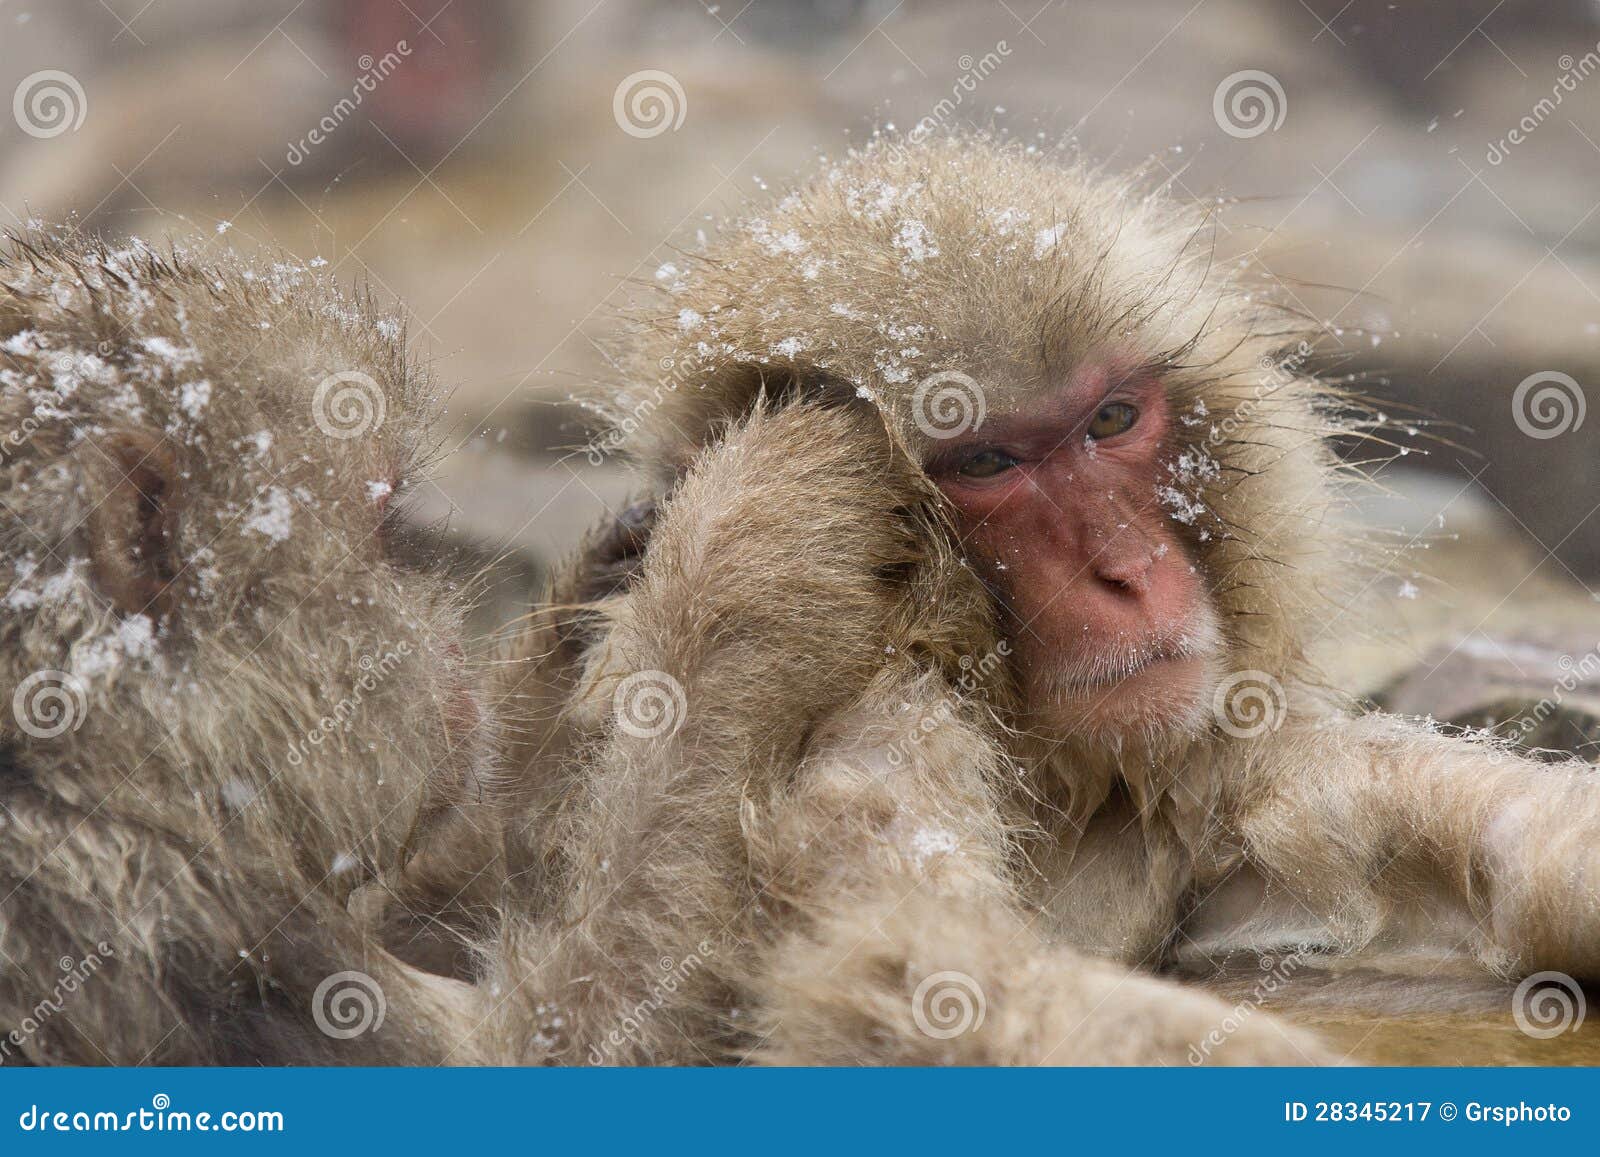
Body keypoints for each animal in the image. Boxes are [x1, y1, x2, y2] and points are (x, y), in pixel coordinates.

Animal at [482, 132, 1600, 1065]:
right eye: (986, 462)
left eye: (1111, 419)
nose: (1127, 572)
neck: (1057, 784)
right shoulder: (888, 723)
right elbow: (912, 982)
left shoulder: (1218, 766)